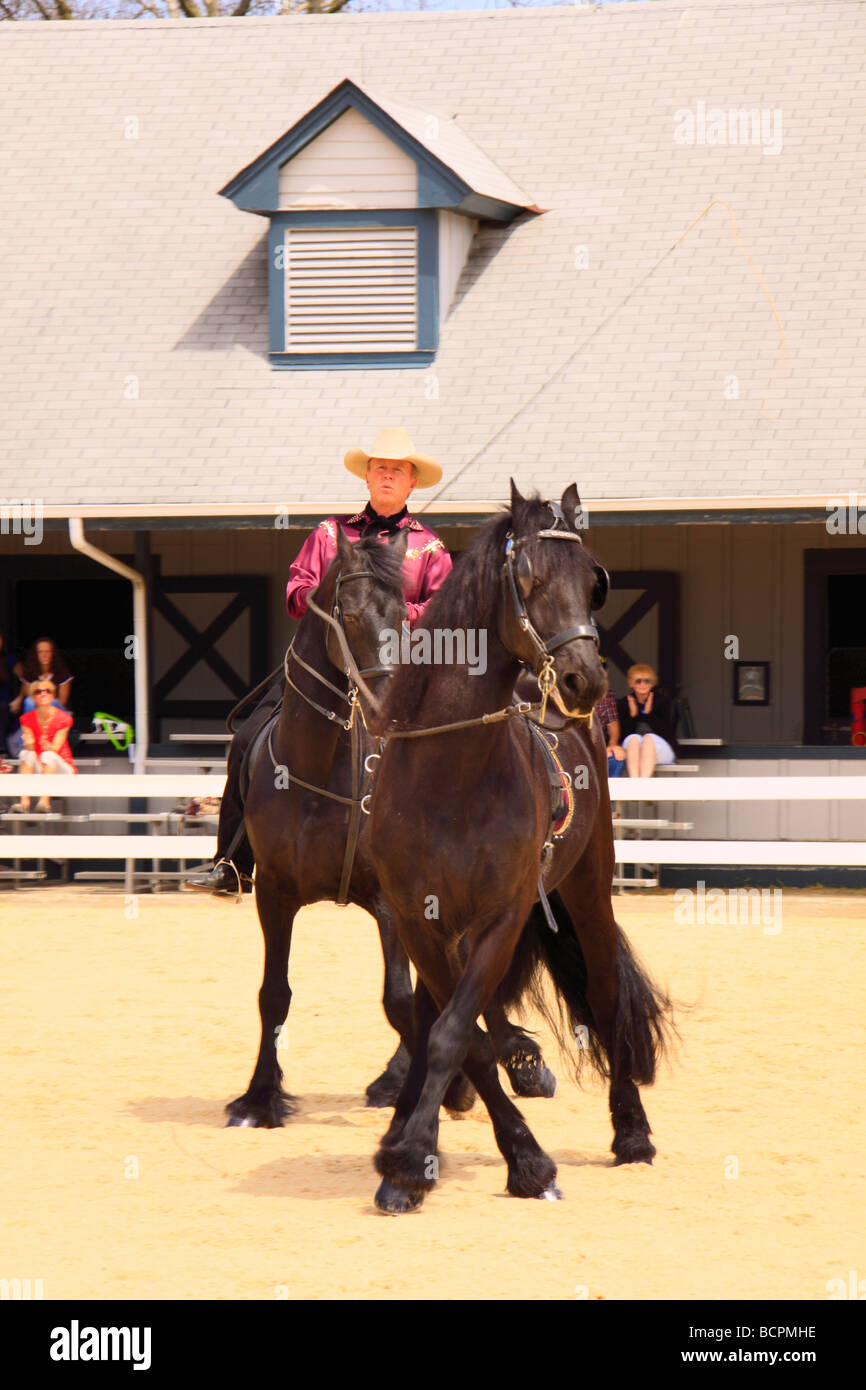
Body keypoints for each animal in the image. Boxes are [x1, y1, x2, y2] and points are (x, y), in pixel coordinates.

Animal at [227, 524, 557, 1127]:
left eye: (405, 617)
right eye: (351, 614)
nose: (388, 703)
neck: (317, 770)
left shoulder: (389, 900)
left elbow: (403, 1001)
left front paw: (445, 1085)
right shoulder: (274, 893)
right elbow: (274, 993)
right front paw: (259, 1097)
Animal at [368, 482, 673, 1212]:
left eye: (593, 581)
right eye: (527, 574)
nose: (587, 681)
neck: (450, 775)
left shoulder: (501, 919)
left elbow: (458, 1032)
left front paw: (516, 1162)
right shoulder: (418, 921)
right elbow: (462, 1037)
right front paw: (412, 1157)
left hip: (589, 890)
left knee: (606, 996)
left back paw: (632, 1132)